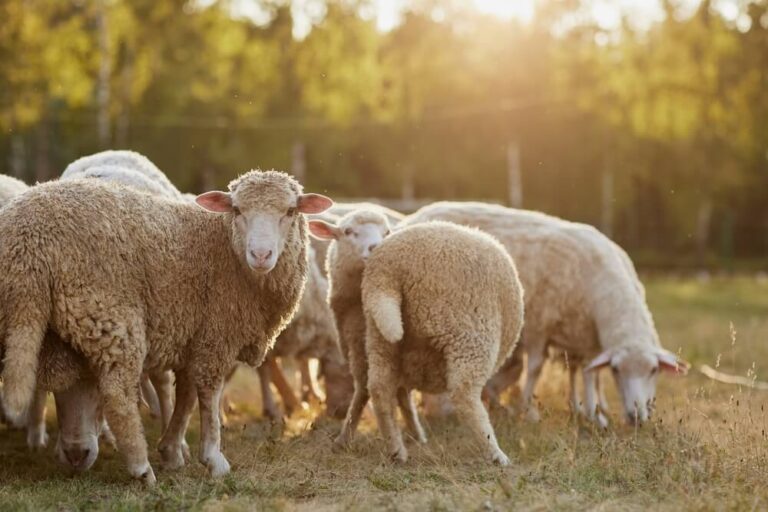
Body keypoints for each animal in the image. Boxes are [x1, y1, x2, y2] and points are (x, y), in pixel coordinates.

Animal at [0, 170, 332, 484]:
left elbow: (185, 396)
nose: (261, 255)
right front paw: (213, 458)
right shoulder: (215, 335)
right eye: (237, 210)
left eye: (290, 211)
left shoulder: (192, 333)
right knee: (118, 396)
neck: (224, 249)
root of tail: (28, 244)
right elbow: (208, 394)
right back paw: (141, 468)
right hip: (108, 314)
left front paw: (171, 449)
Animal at [360, 221, 524, 465]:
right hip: (468, 331)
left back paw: (397, 451)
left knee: (379, 389)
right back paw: (495, 454)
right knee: (464, 394)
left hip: (379, 333)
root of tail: (387, 269)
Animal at [401, 202, 689, 427]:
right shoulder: (540, 323)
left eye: (654, 370)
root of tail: (410, 218)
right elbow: (537, 368)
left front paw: (590, 410)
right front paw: (529, 411)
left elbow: (587, 374)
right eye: (617, 371)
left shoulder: (583, 336)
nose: (637, 418)